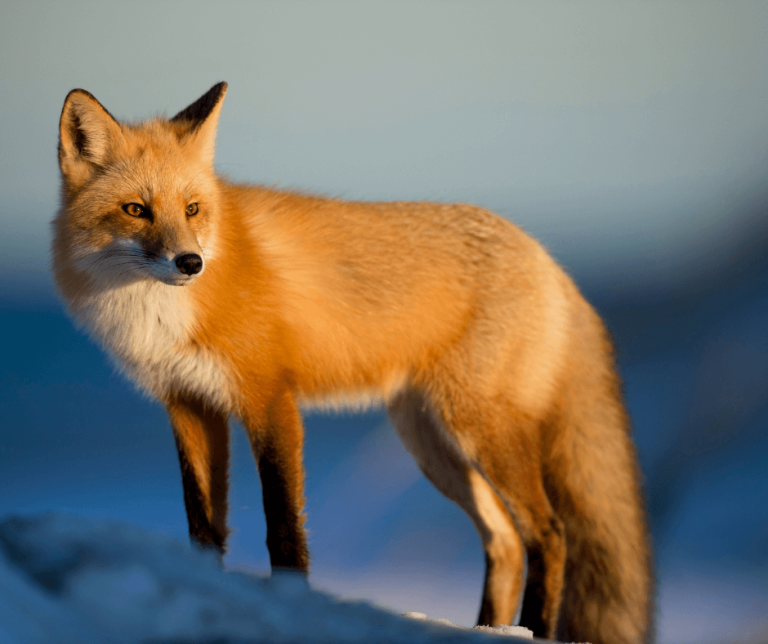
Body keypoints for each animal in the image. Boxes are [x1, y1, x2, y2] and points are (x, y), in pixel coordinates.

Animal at [51, 82, 653, 643]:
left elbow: (283, 527)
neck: (160, 314)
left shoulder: (269, 398)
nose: (190, 262)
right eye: (136, 210)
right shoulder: (189, 404)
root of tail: (549, 261)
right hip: (431, 444)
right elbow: (203, 527)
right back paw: (488, 628)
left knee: (549, 534)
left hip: (479, 430)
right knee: (504, 540)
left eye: (193, 209)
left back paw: (533, 630)